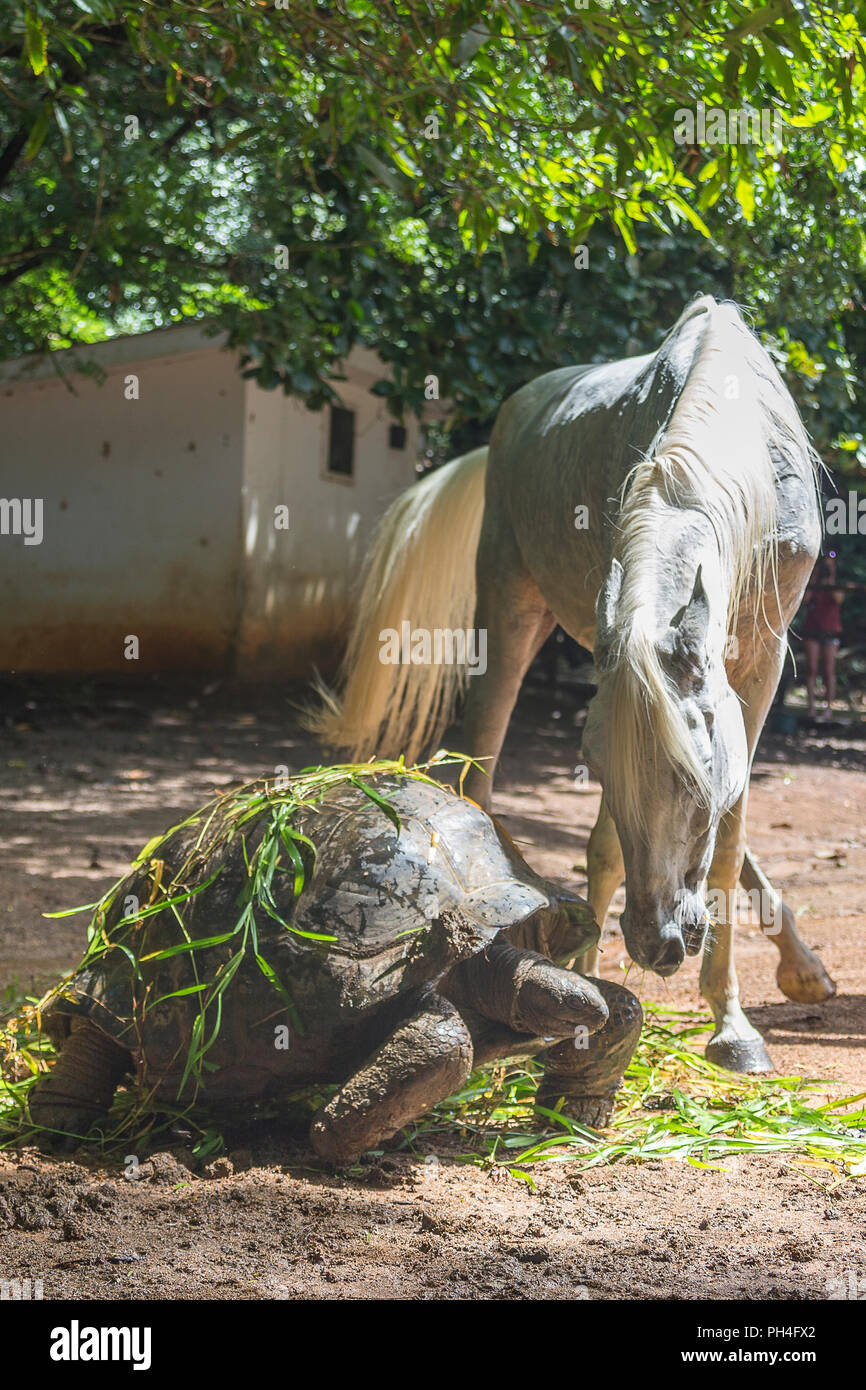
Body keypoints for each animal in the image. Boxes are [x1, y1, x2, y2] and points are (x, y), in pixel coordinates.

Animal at [309, 295, 835, 1074]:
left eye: (692, 781)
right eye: (595, 767)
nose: (655, 943)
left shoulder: (760, 659)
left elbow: (729, 834)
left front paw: (733, 1025)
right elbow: (610, 846)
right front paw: (586, 979)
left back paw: (797, 965)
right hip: (508, 611)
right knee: (478, 765)